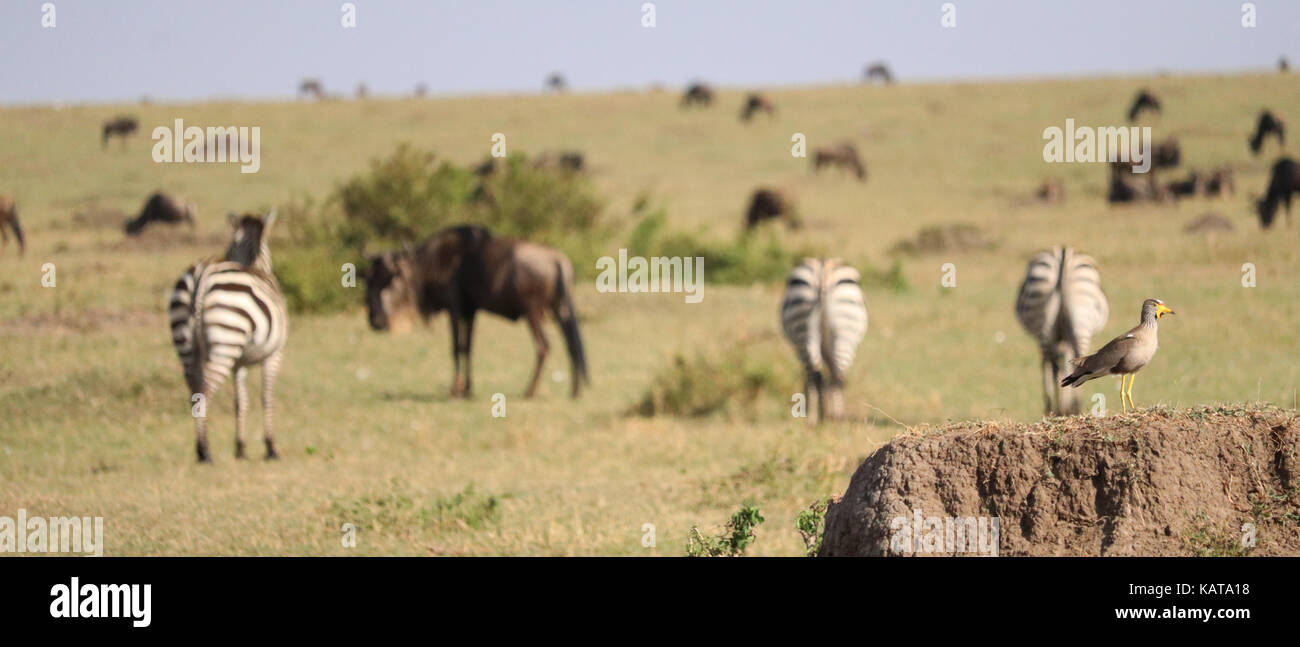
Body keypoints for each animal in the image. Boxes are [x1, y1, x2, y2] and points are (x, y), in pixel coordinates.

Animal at [169, 211, 288, 462]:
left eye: (230, 247)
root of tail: (203, 275)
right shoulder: (274, 354)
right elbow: (266, 396)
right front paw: (271, 447)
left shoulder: (239, 363)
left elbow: (240, 401)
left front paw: (240, 448)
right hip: (226, 341)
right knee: (204, 391)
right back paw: (205, 450)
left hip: (187, 342)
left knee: (193, 389)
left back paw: (201, 448)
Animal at [779, 258, 869, 424]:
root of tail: (823, 271)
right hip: (843, 333)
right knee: (835, 376)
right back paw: (833, 419)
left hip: (805, 331)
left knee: (820, 376)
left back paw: (817, 419)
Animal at [1014, 246, 1109, 416]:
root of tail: (1063, 254)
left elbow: (1059, 364)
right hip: (1080, 322)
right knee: (1066, 360)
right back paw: (1068, 408)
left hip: (1049, 323)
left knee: (1051, 363)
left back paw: (1055, 409)